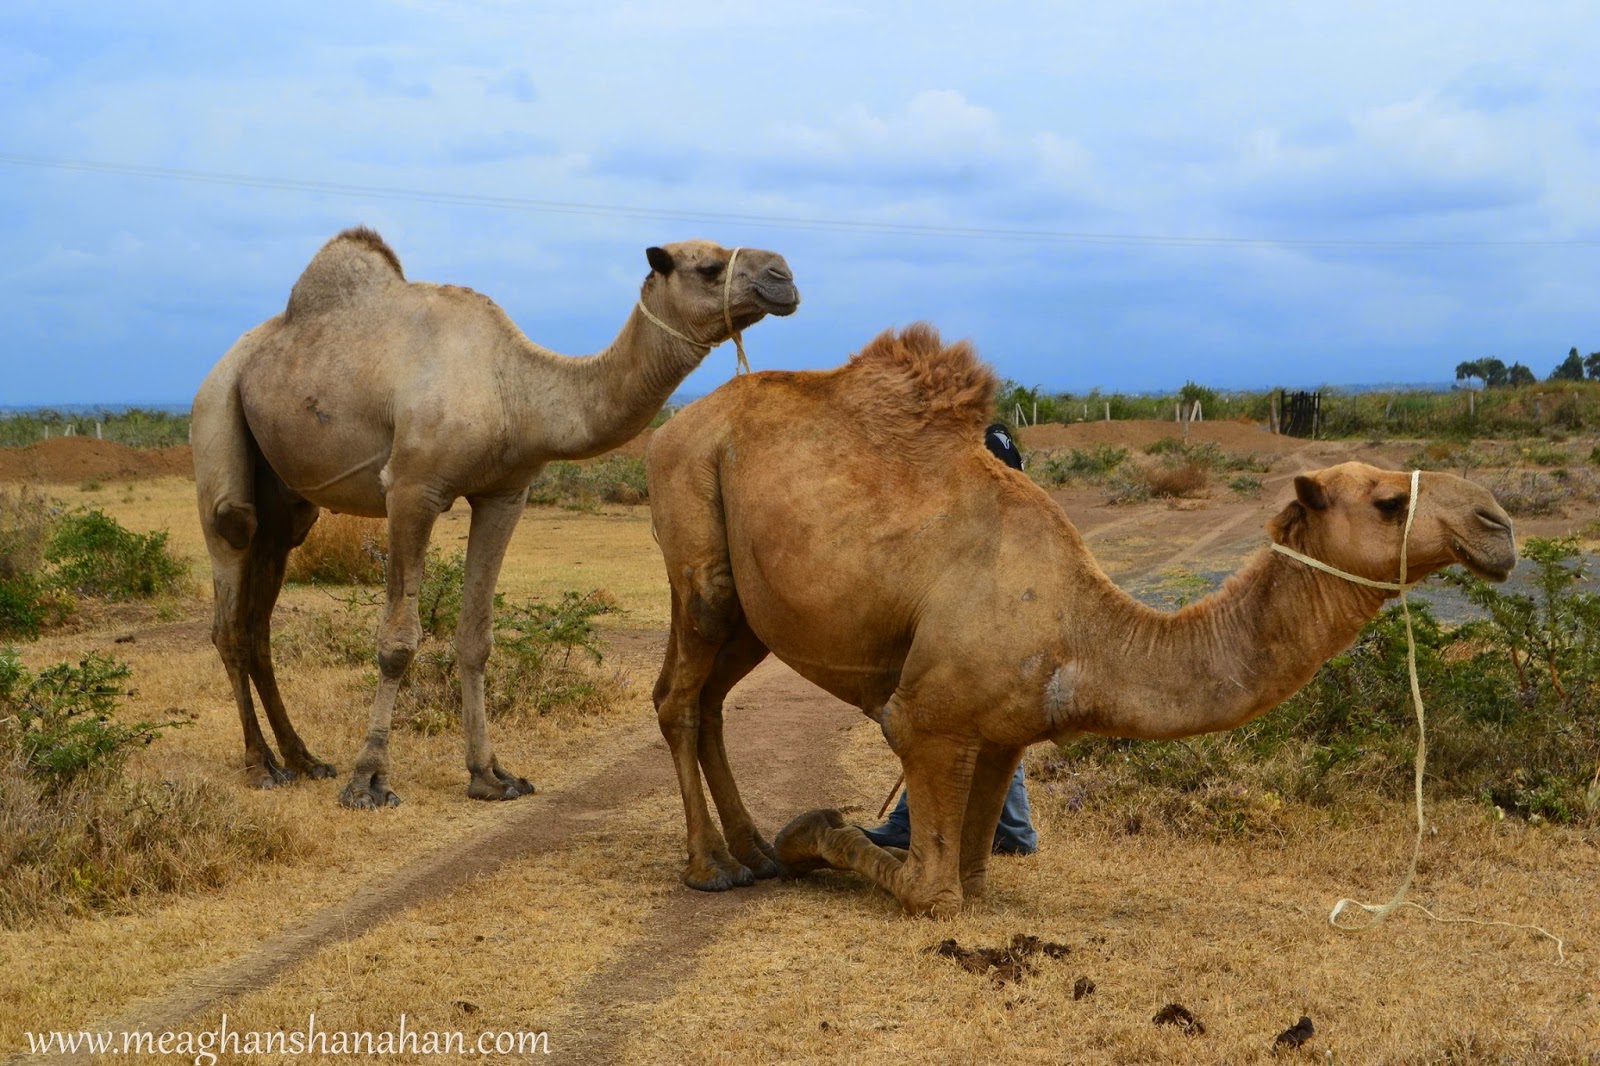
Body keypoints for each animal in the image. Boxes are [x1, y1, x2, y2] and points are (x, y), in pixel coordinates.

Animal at [193, 227, 798, 808]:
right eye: (709, 267)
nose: (784, 275)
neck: (518, 390)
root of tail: (227, 362)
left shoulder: (505, 493)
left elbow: (476, 637)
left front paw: (490, 775)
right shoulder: (412, 488)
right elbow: (397, 642)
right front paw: (369, 781)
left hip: (286, 503)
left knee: (260, 613)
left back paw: (303, 758)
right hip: (216, 414)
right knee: (230, 583)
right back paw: (262, 766)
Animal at [645, 324, 1516, 916]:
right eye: (1388, 501)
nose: (1496, 523)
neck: (1083, 637)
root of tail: (675, 424)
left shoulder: (1002, 734)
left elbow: (972, 876)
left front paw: (798, 841)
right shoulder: (924, 720)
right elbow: (933, 891)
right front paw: (808, 831)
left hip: (751, 609)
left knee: (712, 697)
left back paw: (751, 849)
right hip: (697, 534)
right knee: (678, 695)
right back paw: (714, 865)